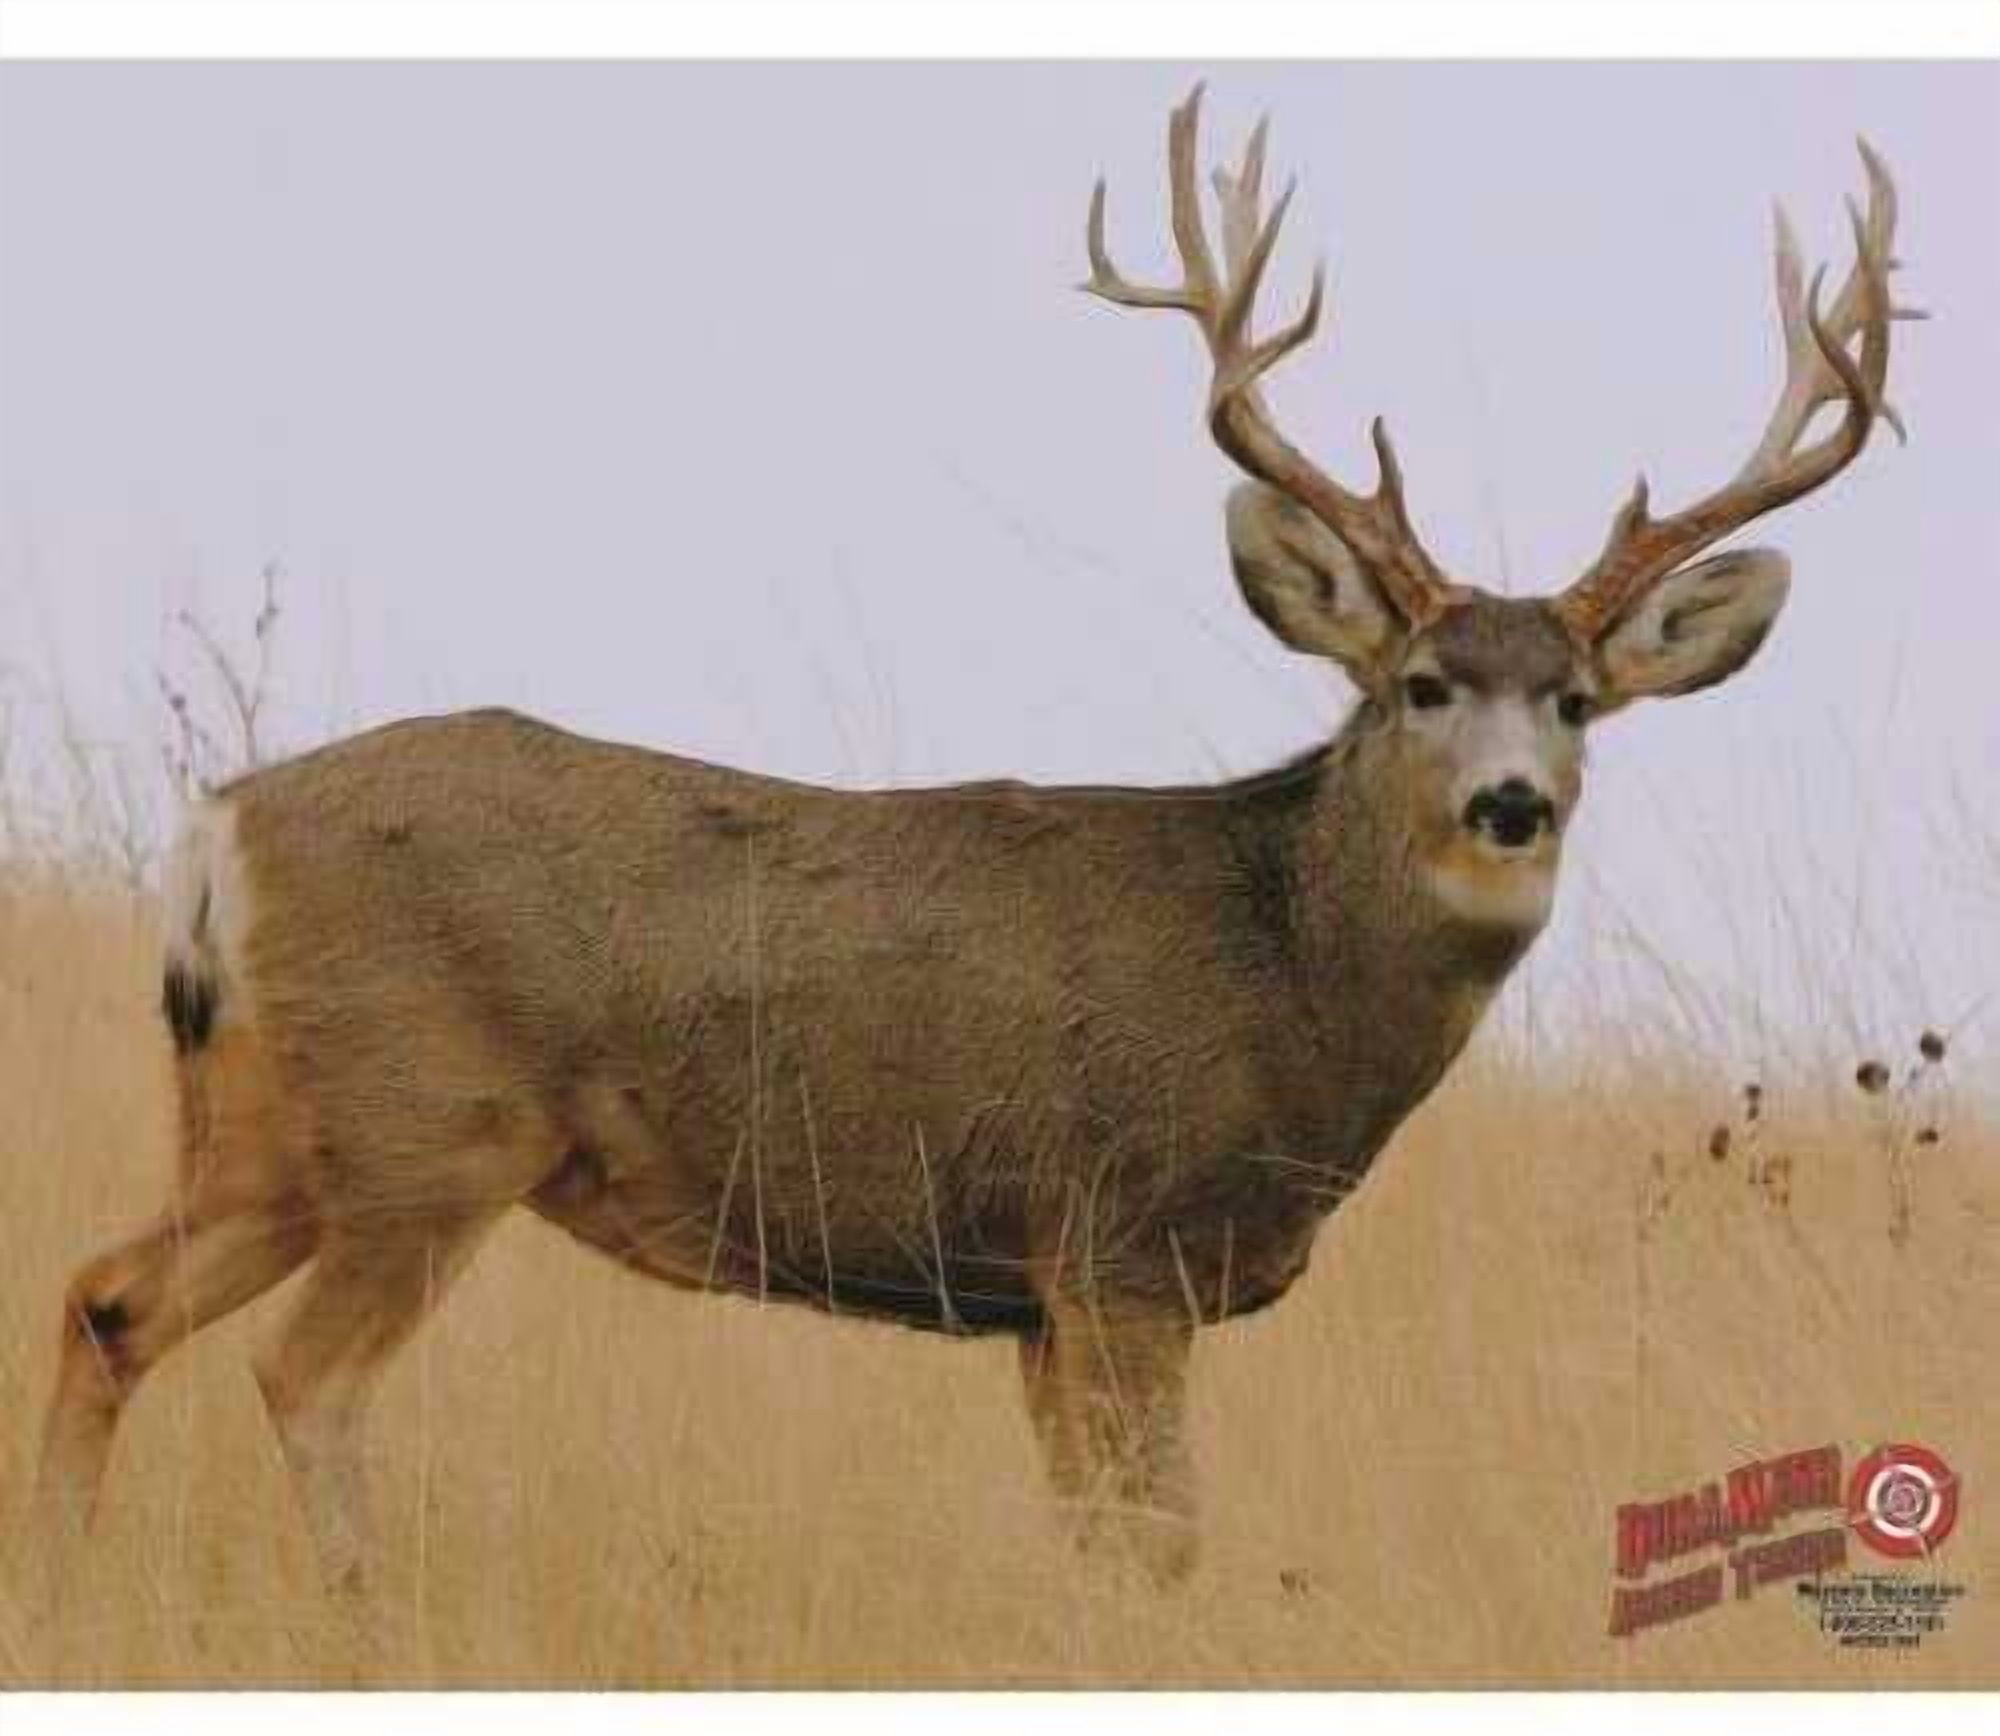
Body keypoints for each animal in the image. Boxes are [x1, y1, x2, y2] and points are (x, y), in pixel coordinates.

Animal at [32, 86, 1913, 1604]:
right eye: (1423, 684)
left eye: (1581, 701)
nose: (1510, 804)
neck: (1288, 988)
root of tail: (222, 827)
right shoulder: (1118, 1241)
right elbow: (1161, 1548)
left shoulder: (1032, 1296)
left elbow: (1098, 1546)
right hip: (433, 1125)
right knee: (301, 1375)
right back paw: (354, 1612)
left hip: (274, 1122)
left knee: (104, 1297)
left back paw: (62, 1588)